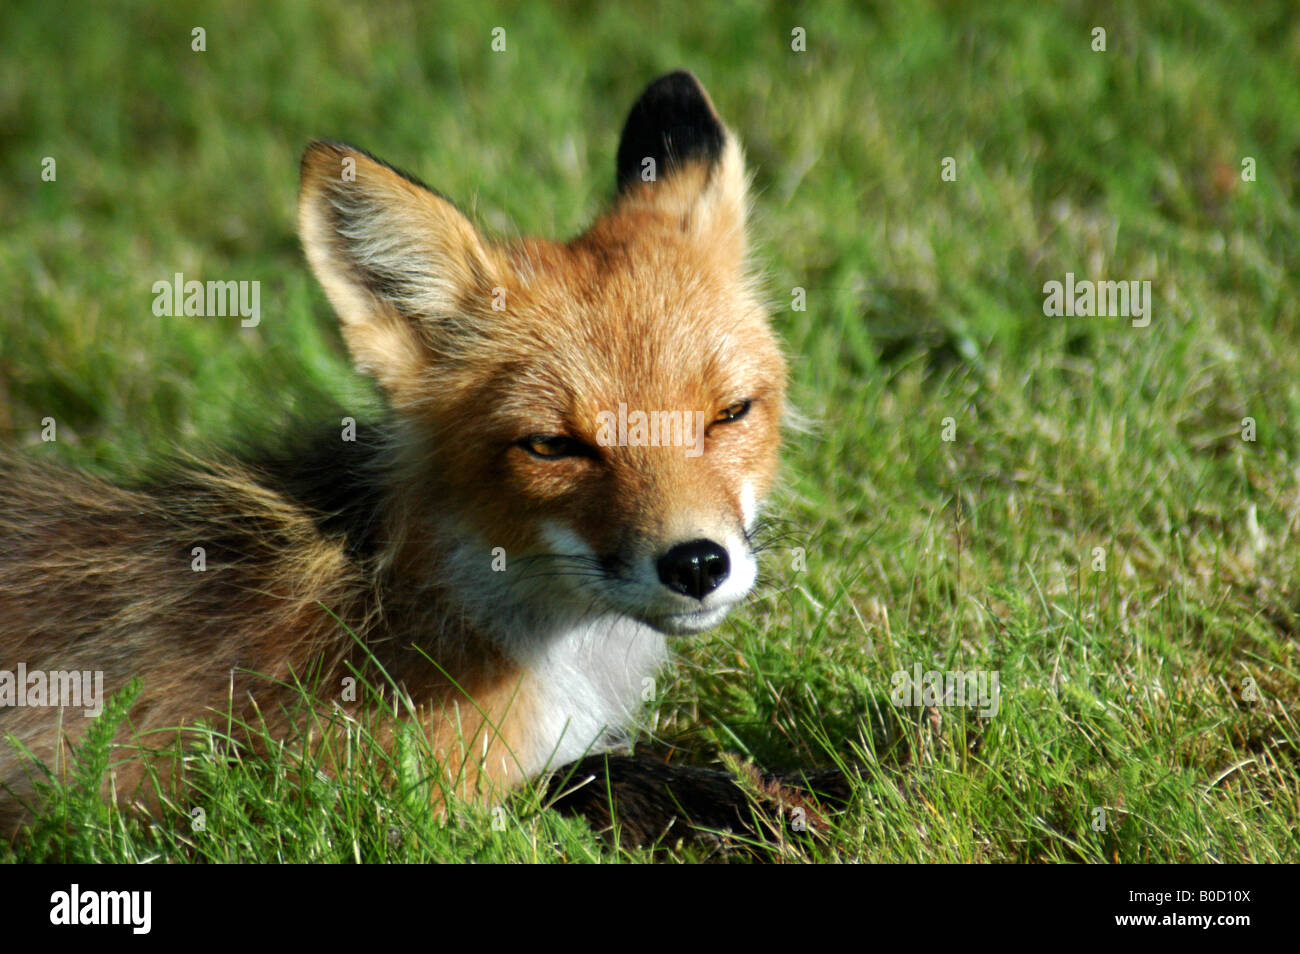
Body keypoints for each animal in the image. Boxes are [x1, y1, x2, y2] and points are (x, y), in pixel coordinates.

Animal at [0, 71, 840, 846]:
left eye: (729, 413)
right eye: (553, 446)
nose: (697, 564)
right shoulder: (346, 808)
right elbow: (589, 780)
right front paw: (737, 805)